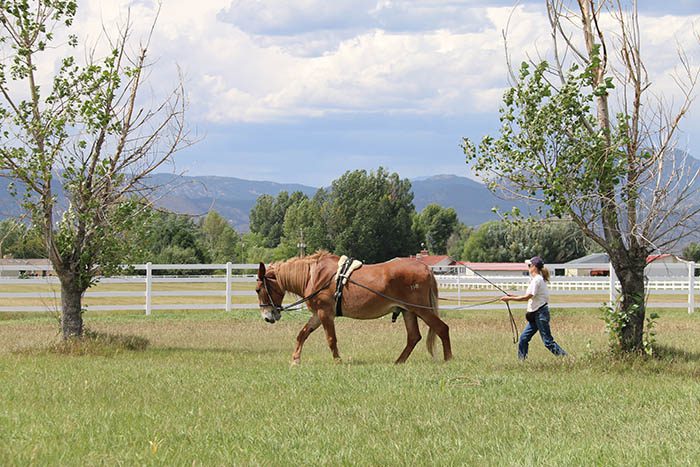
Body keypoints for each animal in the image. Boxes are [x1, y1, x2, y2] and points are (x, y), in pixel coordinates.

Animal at [255, 251, 452, 364]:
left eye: (258, 289)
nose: (267, 317)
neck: (313, 276)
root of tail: (425, 268)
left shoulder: (325, 314)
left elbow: (331, 339)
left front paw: (338, 361)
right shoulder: (317, 315)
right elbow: (302, 334)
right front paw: (295, 359)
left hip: (421, 309)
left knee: (442, 328)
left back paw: (448, 359)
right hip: (408, 311)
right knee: (413, 337)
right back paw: (399, 361)